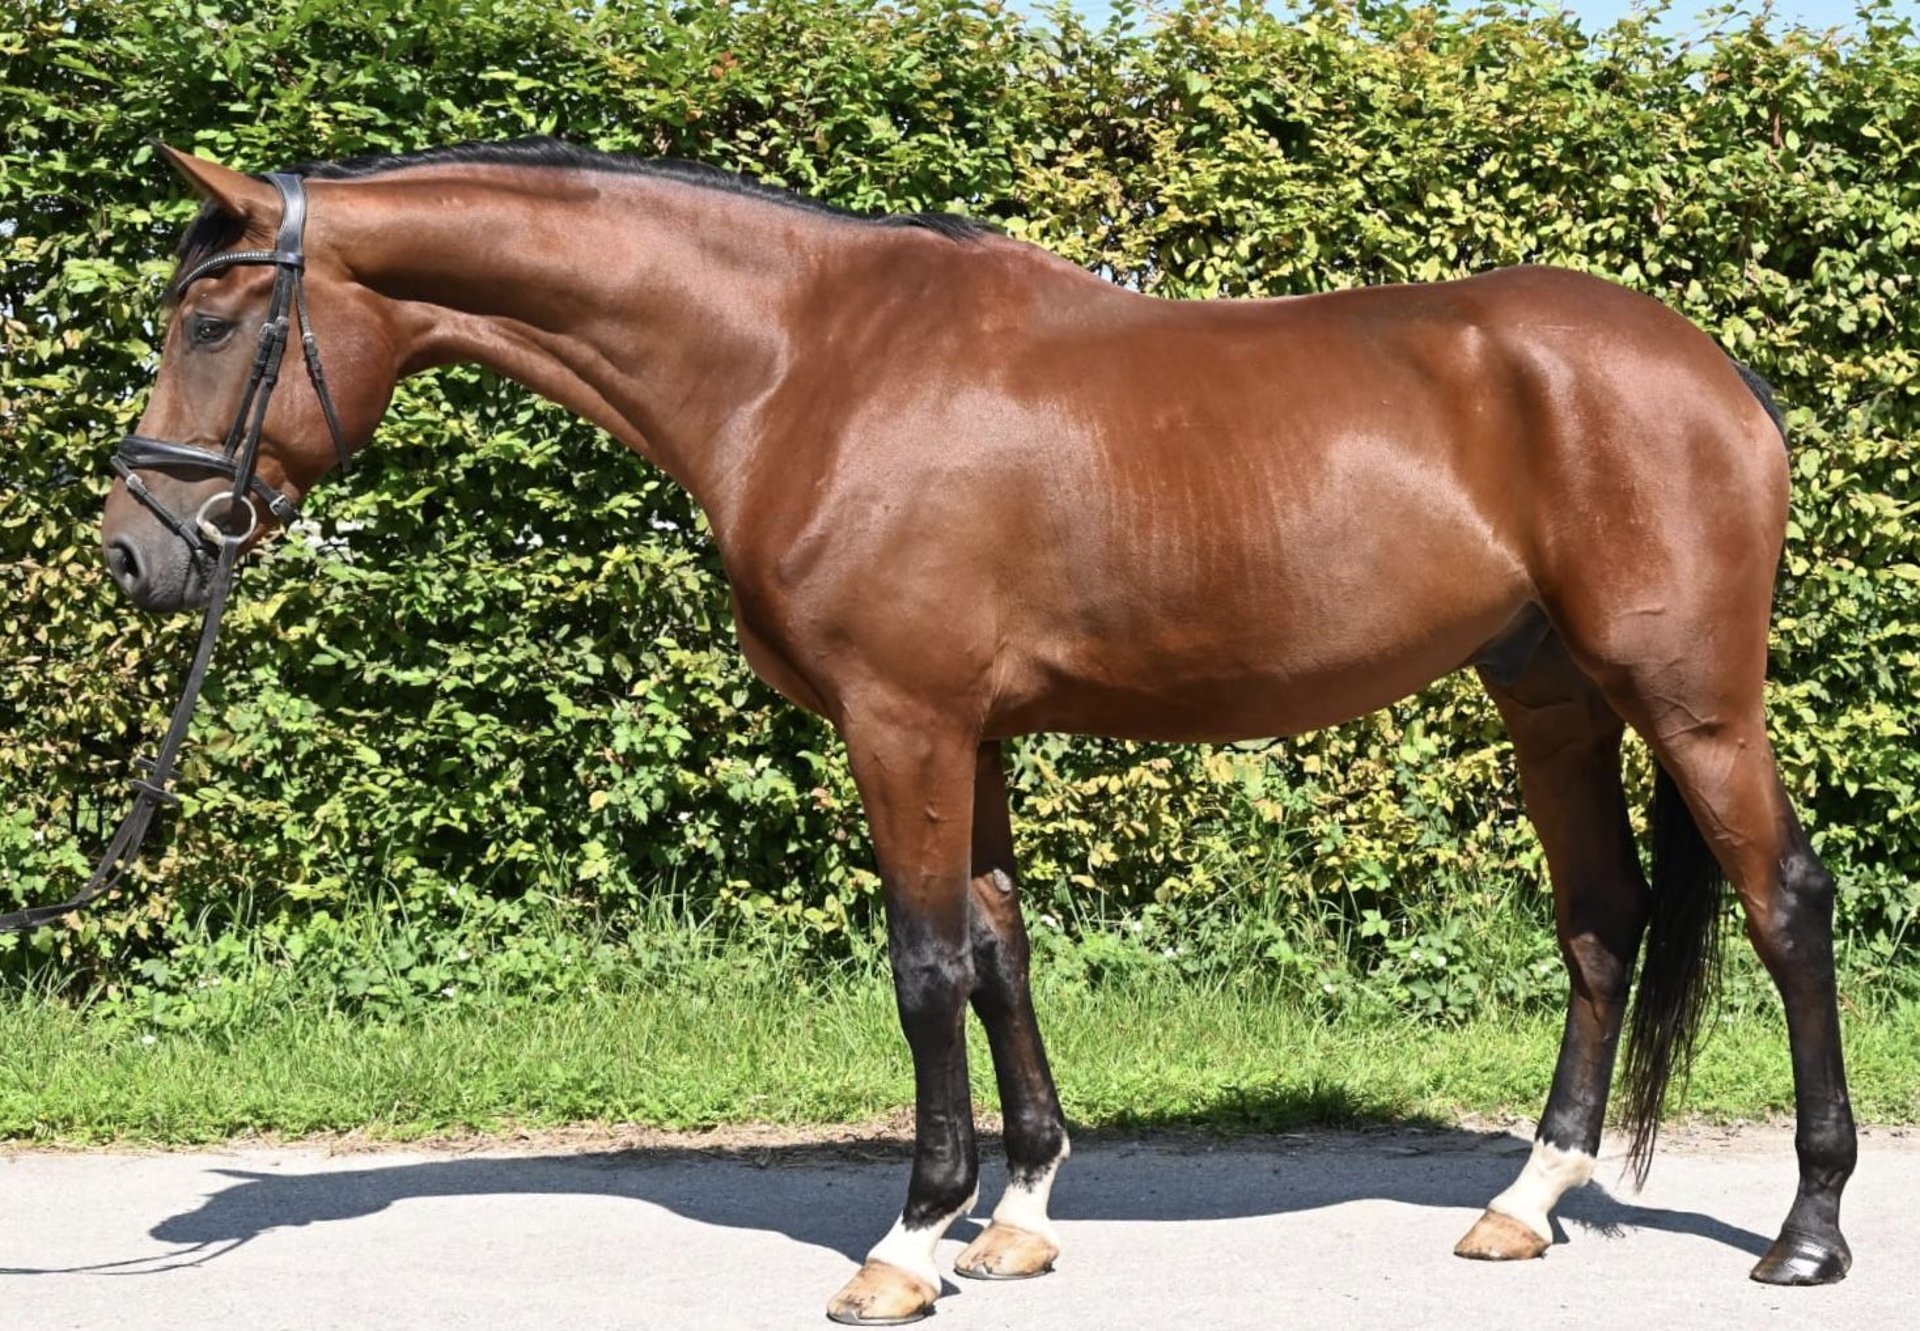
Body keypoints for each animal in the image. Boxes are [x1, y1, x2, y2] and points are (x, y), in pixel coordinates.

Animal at [101, 139, 1856, 1322]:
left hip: (1689, 698)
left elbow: (925, 961)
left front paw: (903, 1240)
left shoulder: (906, 722)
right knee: (1603, 919)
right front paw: (1014, 1217)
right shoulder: (981, 735)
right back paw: (1528, 1199)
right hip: (1547, 693)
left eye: (213, 322)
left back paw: (1807, 1229)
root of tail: (1718, 372)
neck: (802, 364)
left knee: (1785, 904)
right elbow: (1004, 949)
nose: (138, 551)